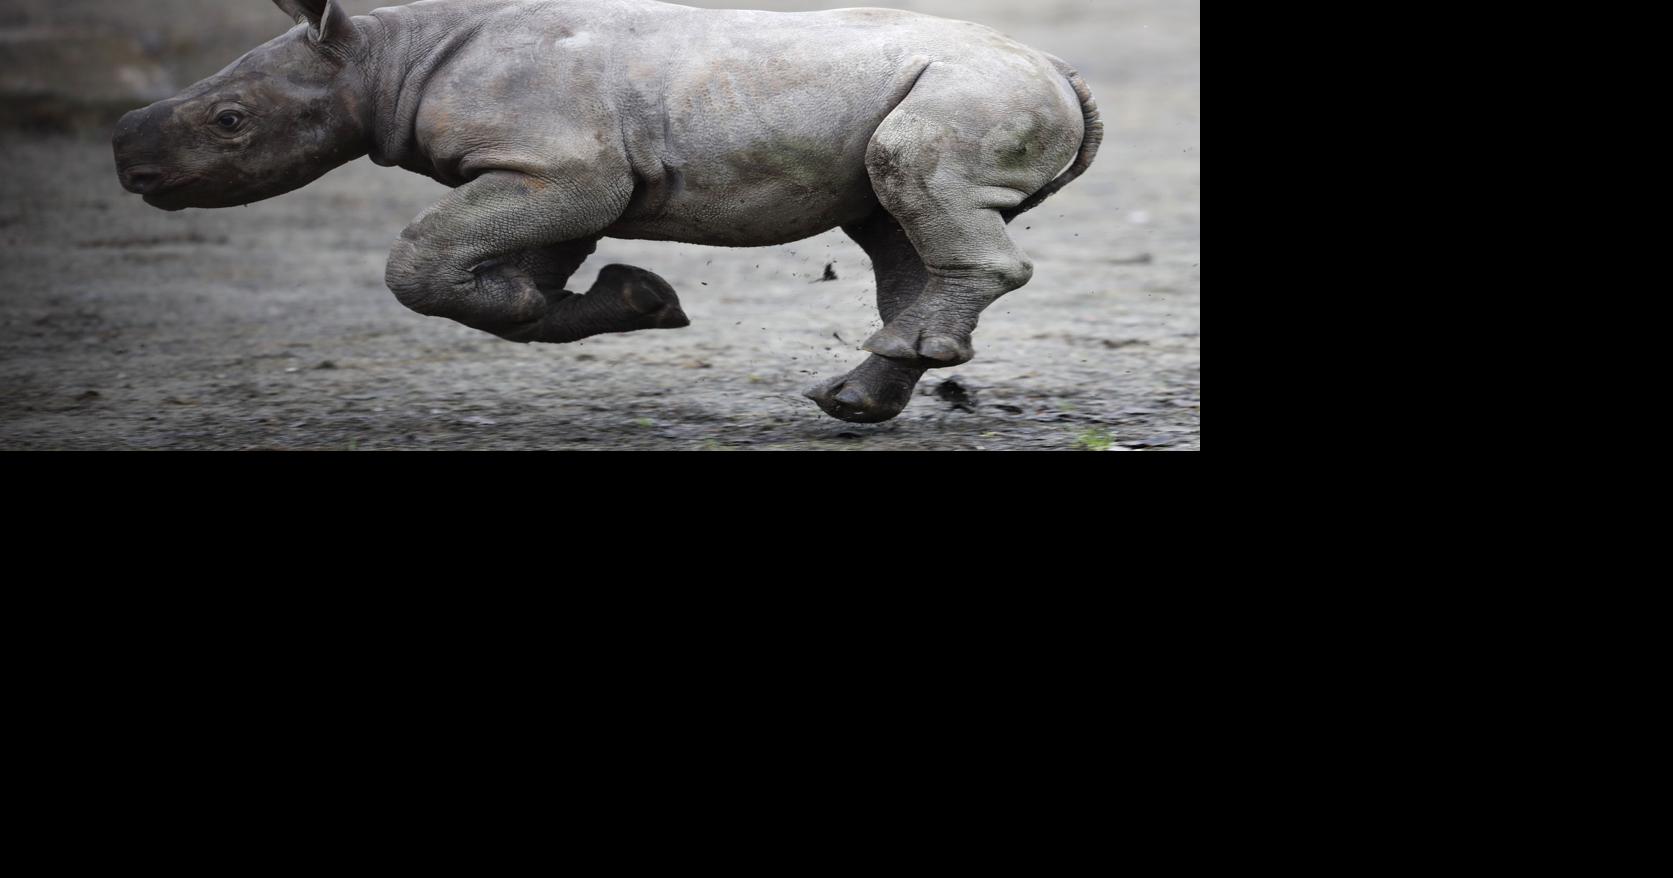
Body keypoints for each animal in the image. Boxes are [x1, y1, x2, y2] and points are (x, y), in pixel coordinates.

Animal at [112, 0, 1102, 423]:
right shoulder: (553, 169)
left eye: (230, 122)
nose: (129, 163)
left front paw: (598, 301)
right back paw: (856, 399)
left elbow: (421, 260)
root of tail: (1061, 68)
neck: (386, 56)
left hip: (972, 91)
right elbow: (508, 266)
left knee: (911, 179)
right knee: (888, 225)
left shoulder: (562, 164)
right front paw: (630, 302)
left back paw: (887, 367)